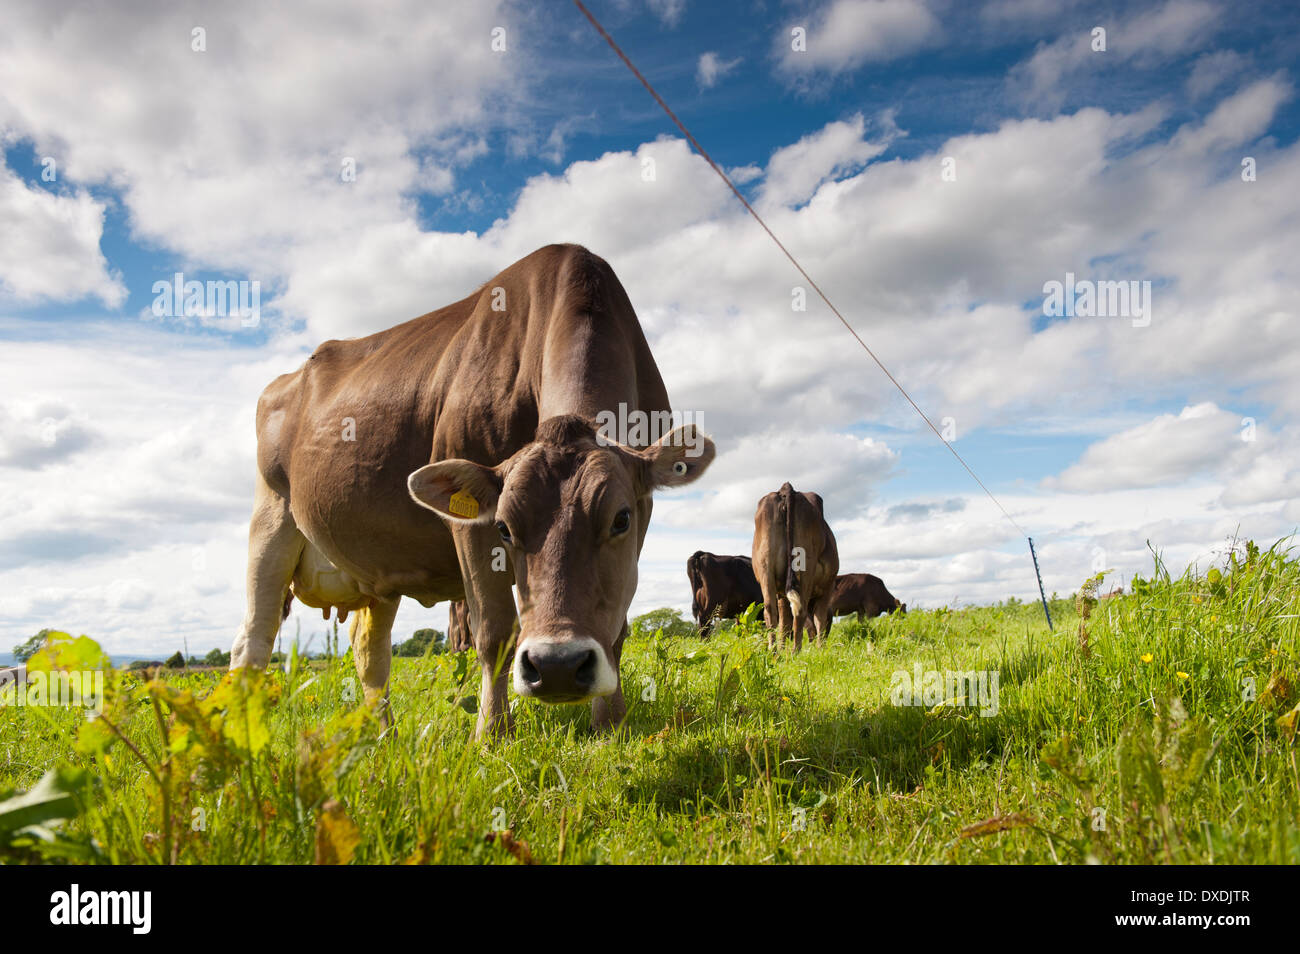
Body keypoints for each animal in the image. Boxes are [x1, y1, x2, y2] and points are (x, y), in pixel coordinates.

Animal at [229, 244, 715, 738]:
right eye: (503, 527)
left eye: (620, 519)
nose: (557, 666)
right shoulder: (469, 523)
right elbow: (495, 631)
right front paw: (491, 733)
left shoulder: (644, 509)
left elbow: (616, 627)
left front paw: (610, 724)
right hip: (270, 519)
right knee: (253, 642)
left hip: (378, 568)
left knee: (370, 651)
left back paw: (384, 736)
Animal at [751, 483, 839, 650]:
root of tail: (786, 489)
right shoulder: (827, 587)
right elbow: (820, 619)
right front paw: (820, 649)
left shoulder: (782, 593)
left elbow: (784, 623)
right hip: (805, 571)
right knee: (800, 611)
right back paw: (794, 652)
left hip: (766, 569)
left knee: (771, 612)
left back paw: (775, 652)